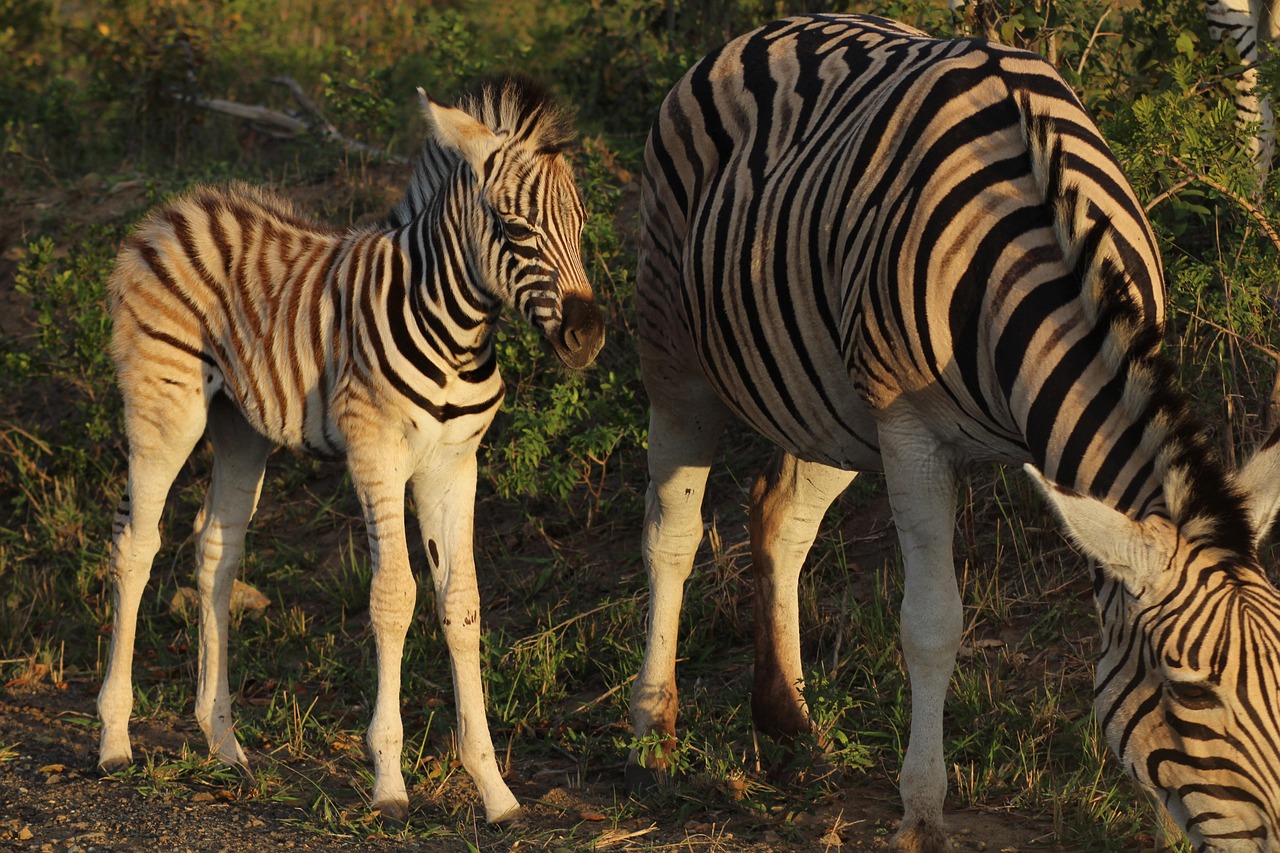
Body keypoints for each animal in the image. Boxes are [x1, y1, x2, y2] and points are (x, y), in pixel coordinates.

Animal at [98, 74, 604, 825]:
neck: (455, 331)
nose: (588, 336)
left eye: (582, 225)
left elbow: (462, 603)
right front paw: (389, 782)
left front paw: (495, 789)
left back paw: (224, 743)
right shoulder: (378, 454)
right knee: (135, 544)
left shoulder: (455, 464)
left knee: (216, 551)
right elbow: (394, 596)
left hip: (240, 427)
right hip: (165, 407)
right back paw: (113, 740)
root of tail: (177, 207)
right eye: (516, 230)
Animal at [627, 13, 1280, 851]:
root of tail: (768, 29)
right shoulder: (910, 433)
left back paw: (790, 725)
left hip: (832, 397)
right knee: (672, 533)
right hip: (674, 348)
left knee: (781, 515)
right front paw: (922, 813)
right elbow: (931, 624)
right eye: (1191, 695)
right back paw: (652, 734)